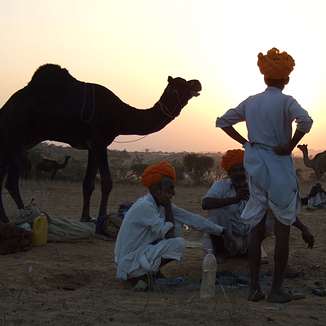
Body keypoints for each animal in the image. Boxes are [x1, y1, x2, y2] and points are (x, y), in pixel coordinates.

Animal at [0, 63, 201, 224]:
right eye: (176, 87)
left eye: (187, 83)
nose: (197, 83)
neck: (121, 114)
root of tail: (5, 108)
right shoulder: (100, 141)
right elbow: (106, 182)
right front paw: (102, 217)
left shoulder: (92, 145)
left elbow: (88, 183)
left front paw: (86, 217)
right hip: (16, 138)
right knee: (11, 181)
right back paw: (21, 216)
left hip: (18, 142)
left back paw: (9, 218)